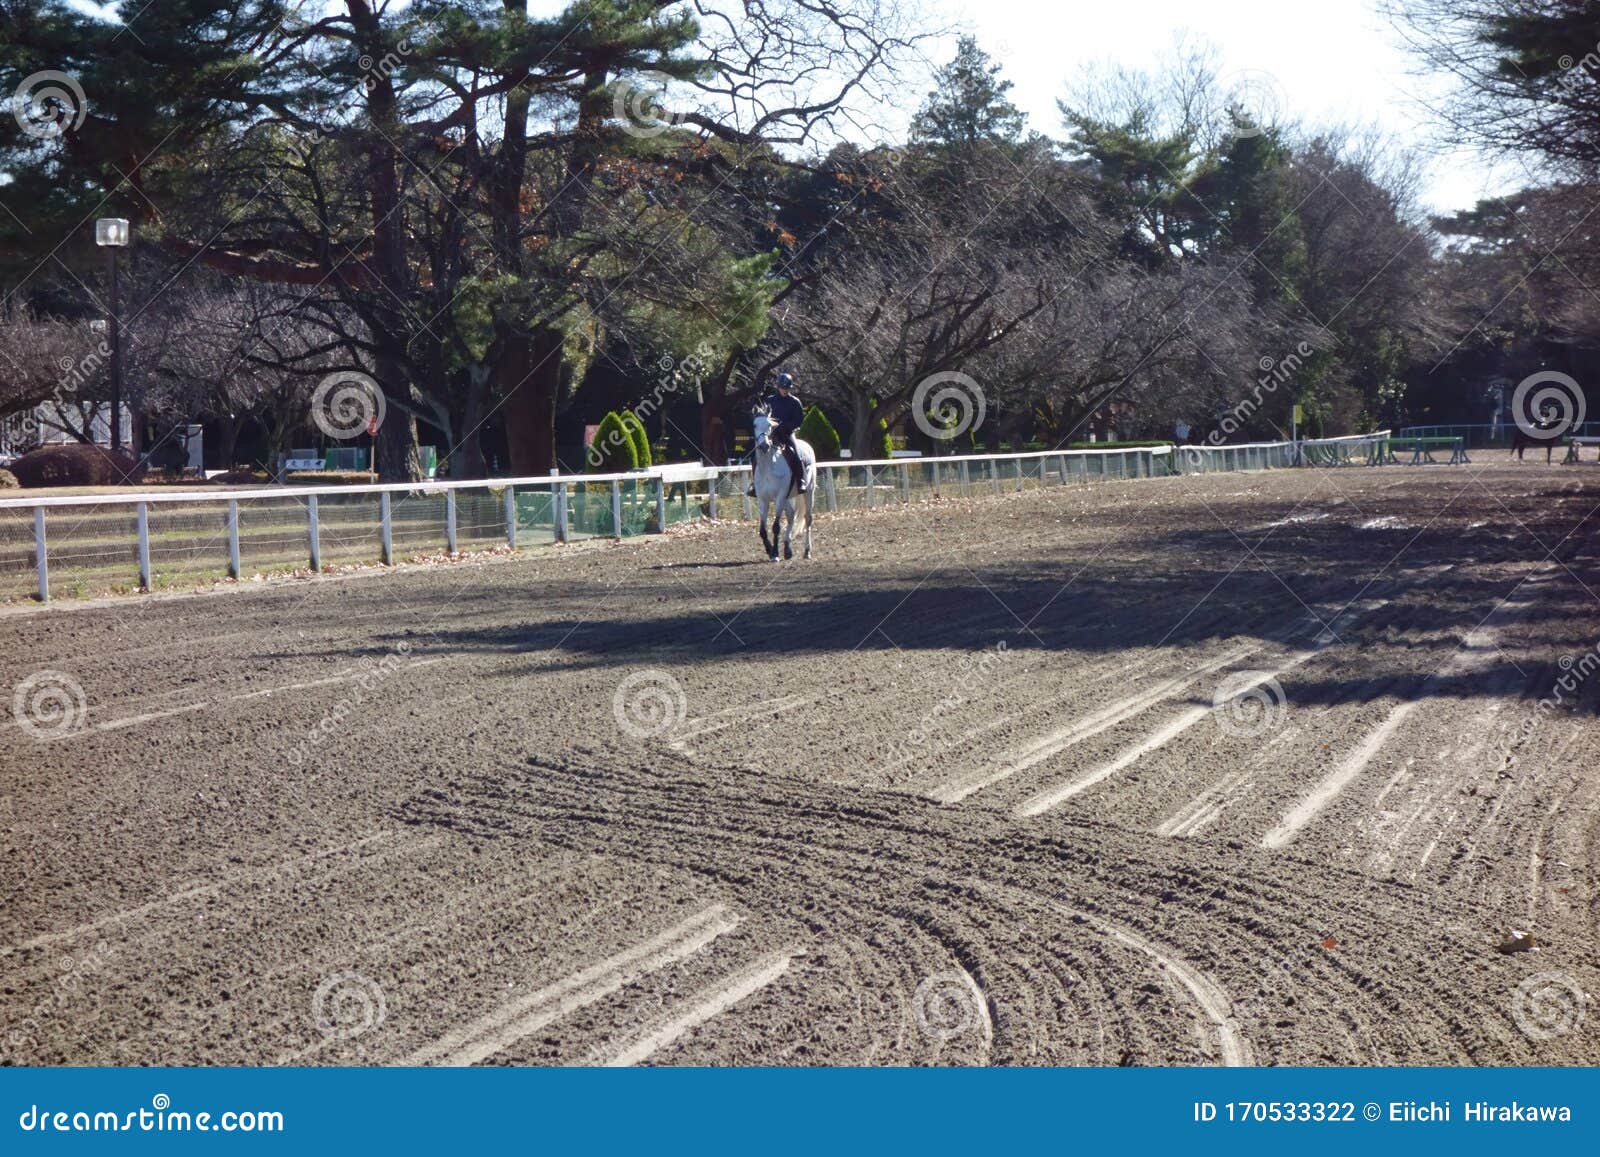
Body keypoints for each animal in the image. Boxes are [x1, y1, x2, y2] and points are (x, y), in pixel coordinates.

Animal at [751, 409, 815, 561]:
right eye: (754, 425)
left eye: (770, 425)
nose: (764, 445)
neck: (768, 467)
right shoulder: (762, 499)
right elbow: (762, 529)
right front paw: (769, 550)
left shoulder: (779, 497)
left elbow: (775, 527)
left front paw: (774, 553)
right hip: (787, 497)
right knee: (791, 516)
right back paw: (787, 549)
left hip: (809, 492)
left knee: (808, 519)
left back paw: (807, 551)